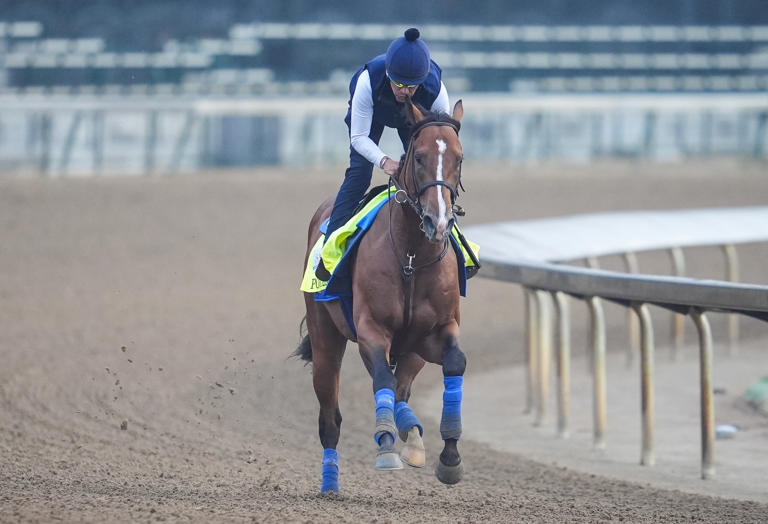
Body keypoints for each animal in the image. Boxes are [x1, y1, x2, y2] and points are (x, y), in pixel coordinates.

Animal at [295, 99, 467, 493]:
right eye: (418, 157)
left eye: (459, 158)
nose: (438, 222)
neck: (411, 256)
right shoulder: (371, 330)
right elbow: (381, 383)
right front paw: (386, 445)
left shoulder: (436, 330)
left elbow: (454, 363)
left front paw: (449, 456)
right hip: (327, 341)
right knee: (331, 418)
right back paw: (330, 483)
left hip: (411, 351)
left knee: (401, 389)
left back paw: (412, 435)